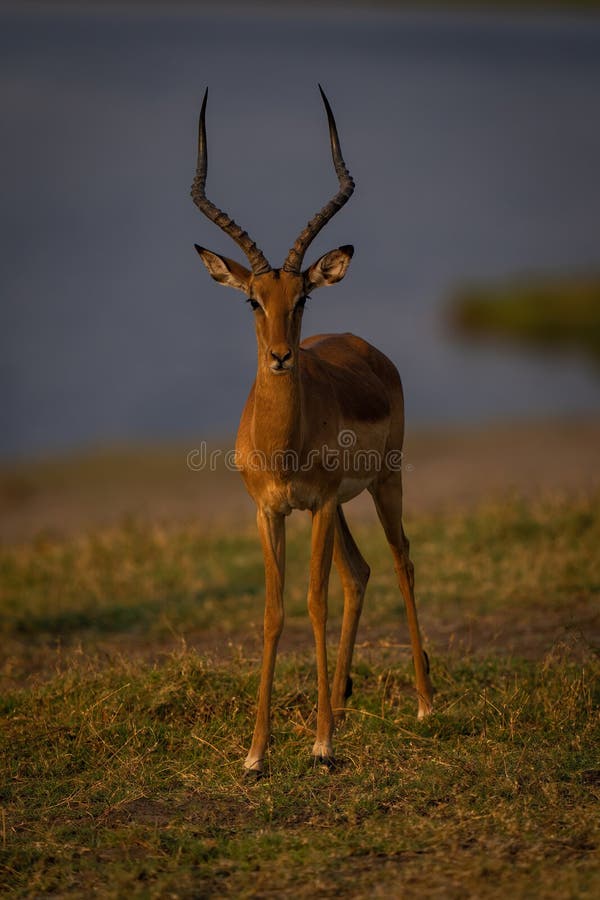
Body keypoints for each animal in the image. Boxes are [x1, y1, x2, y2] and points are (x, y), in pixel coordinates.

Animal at [191, 87, 433, 775]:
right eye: (253, 299)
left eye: (302, 296)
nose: (279, 357)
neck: (281, 445)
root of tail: (365, 347)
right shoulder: (269, 511)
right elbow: (275, 613)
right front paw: (256, 753)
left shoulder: (319, 504)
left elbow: (313, 603)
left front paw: (322, 746)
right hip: (348, 504)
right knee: (361, 573)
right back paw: (346, 703)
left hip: (382, 484)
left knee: (402, 561)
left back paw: (424, 704)